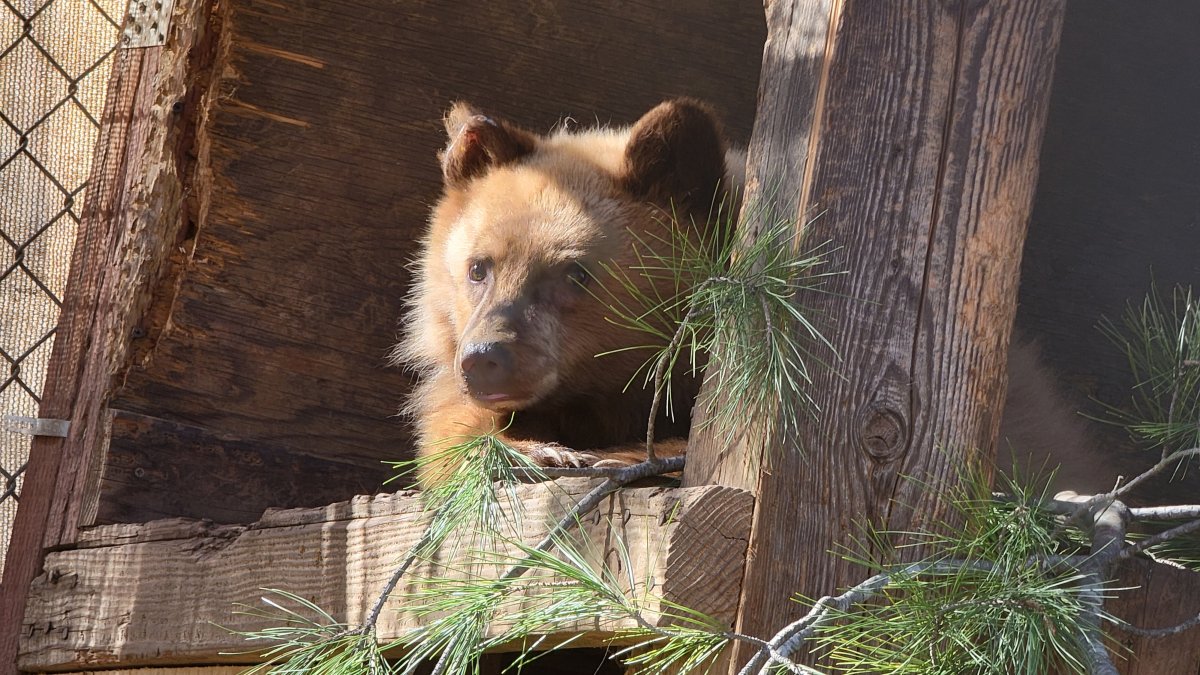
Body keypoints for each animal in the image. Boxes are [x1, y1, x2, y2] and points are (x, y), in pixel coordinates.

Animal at [397, 97, 1106, 493]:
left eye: (575, 273)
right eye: (479, 268)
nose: (486, 359)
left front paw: (616, 454)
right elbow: (448, 437)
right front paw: (531, 448)